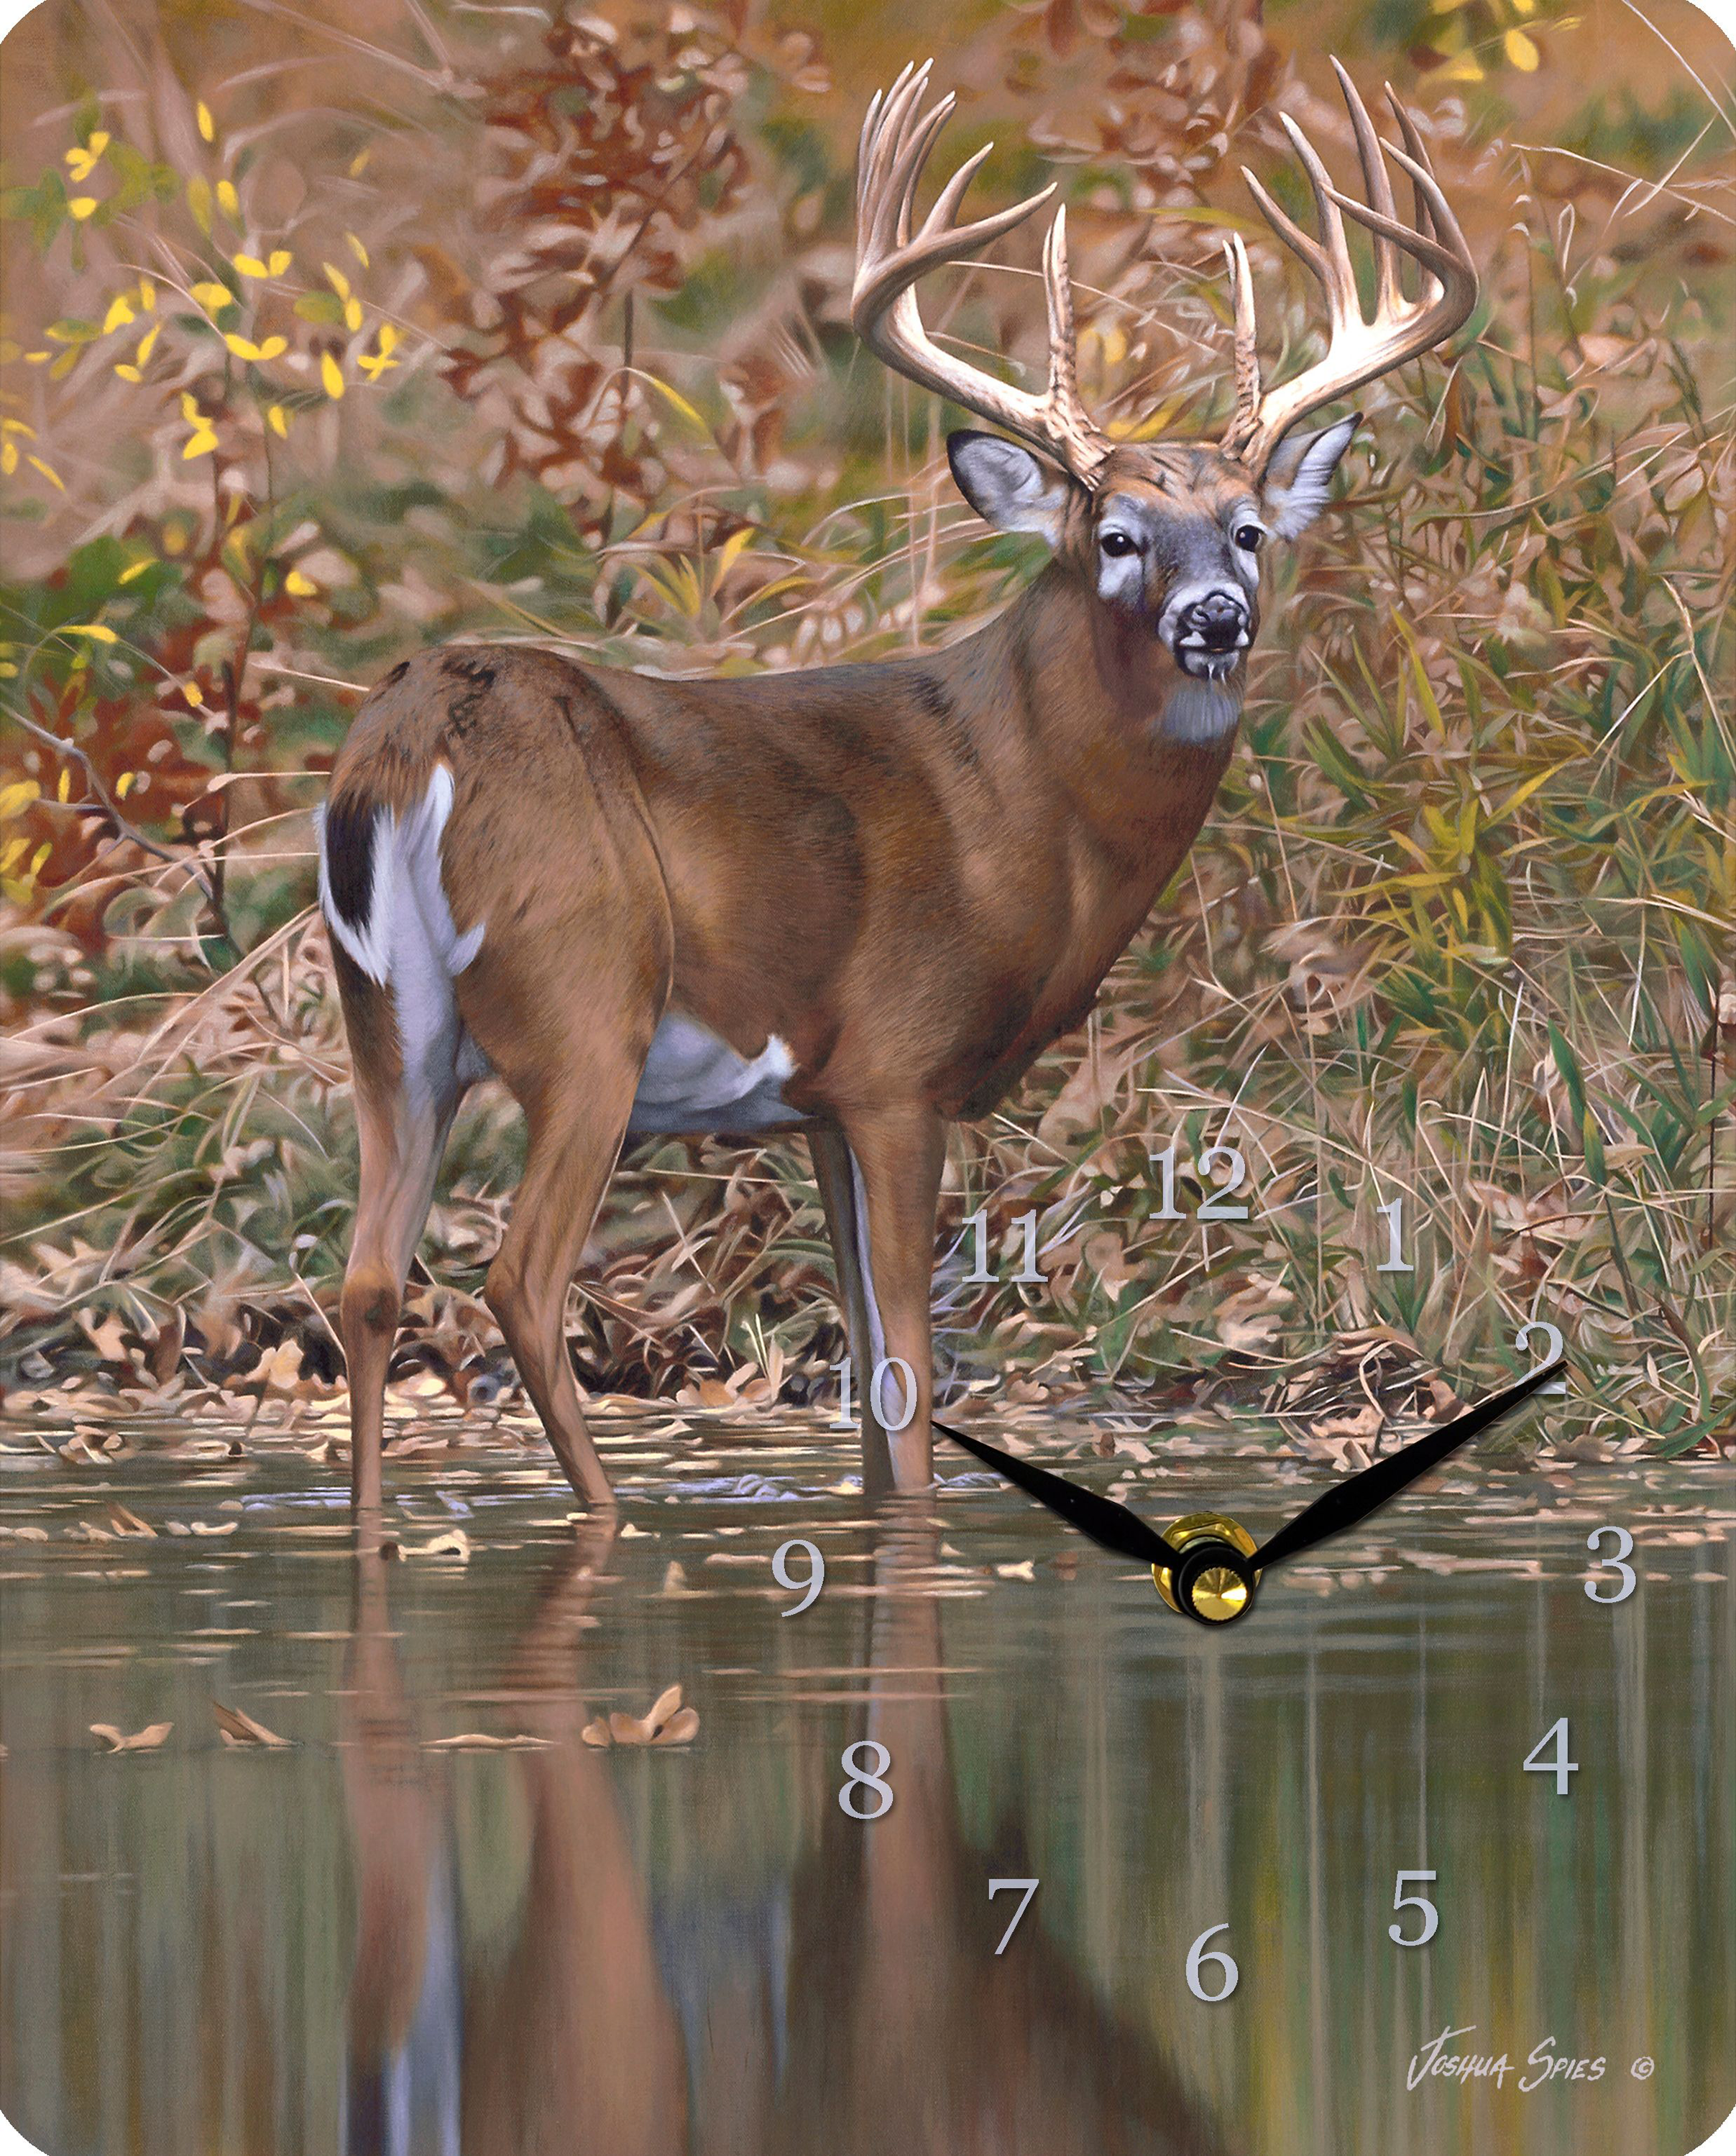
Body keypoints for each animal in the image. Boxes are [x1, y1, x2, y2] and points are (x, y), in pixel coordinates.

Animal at [317, 58, 1476, 1517]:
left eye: (1252, 531)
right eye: (1116, 536)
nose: (1214, 615)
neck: (1023, 804)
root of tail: (409, 738)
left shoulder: (815, 1103)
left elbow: (868, 1395)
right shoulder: (897, 1068)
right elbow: (910, 1384)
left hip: (390, 1025)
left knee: (365, 1280)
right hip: (585, 1001)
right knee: (517, 1281)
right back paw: (610, 1522)